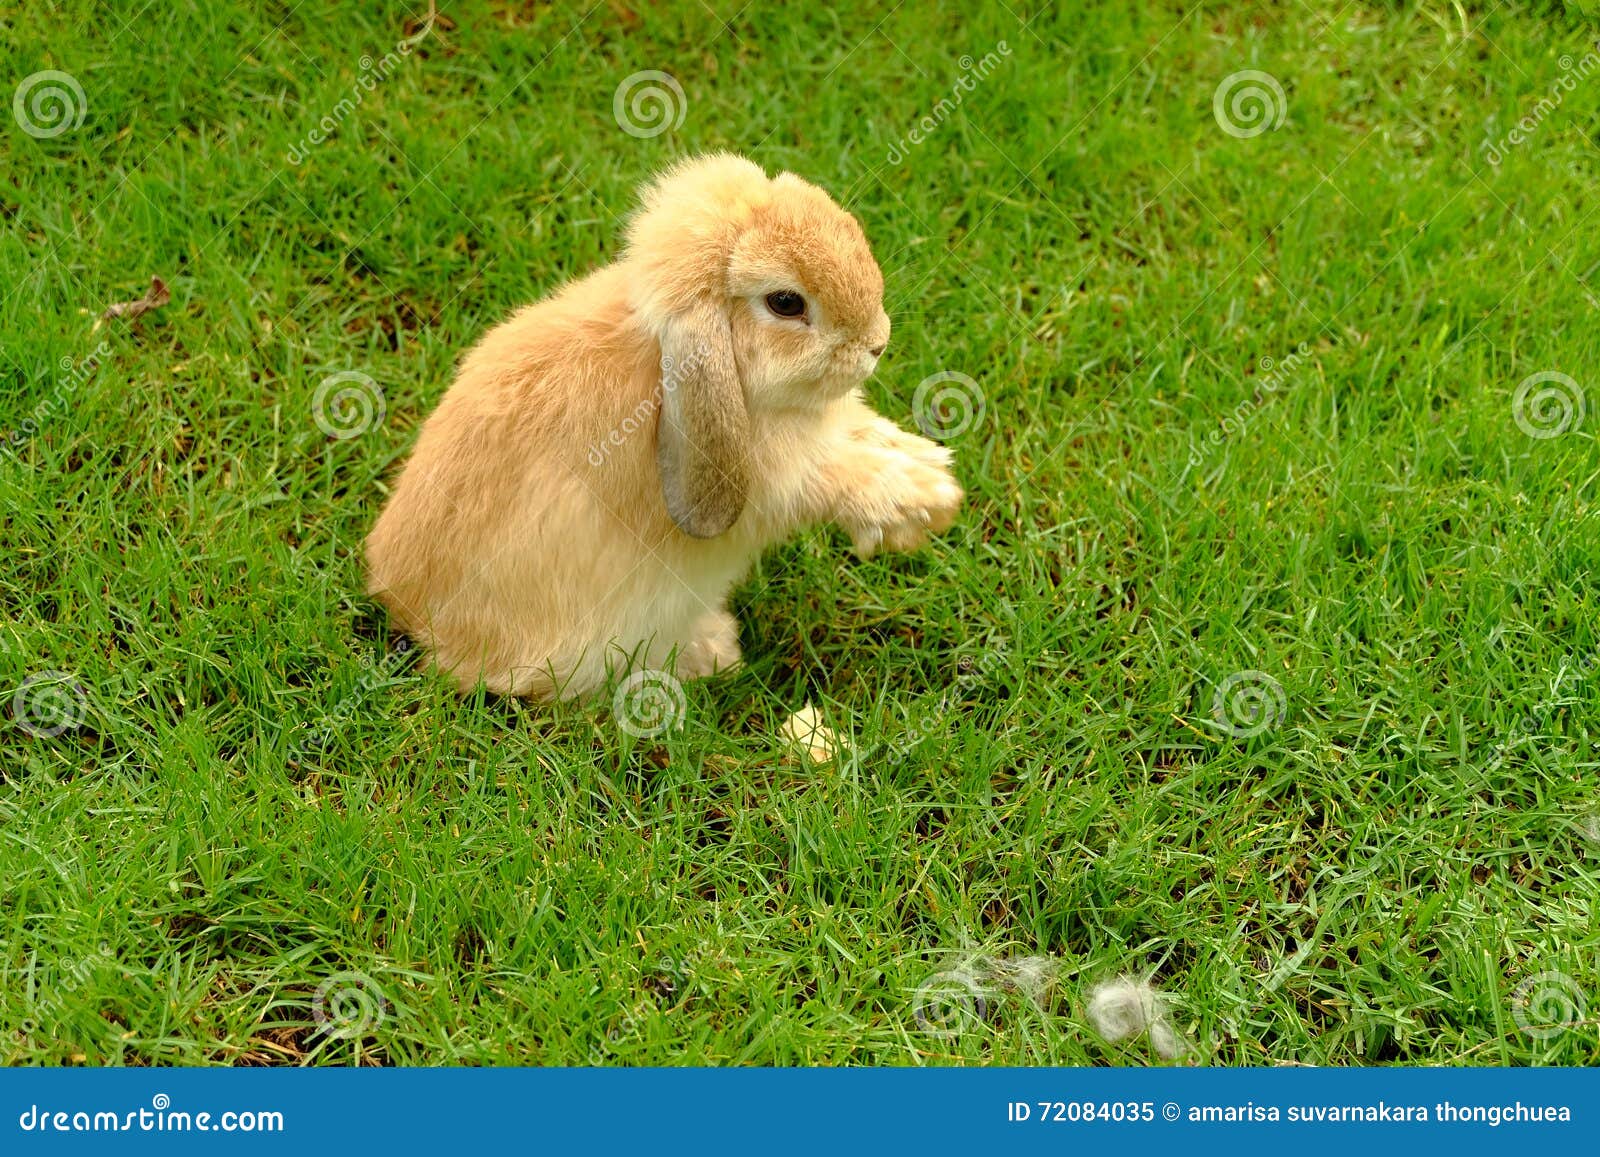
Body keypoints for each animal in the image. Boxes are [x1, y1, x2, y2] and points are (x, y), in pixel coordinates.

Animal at [365, 153, 963, 700]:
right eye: (786, 302)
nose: (877, 342)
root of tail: (407, 611)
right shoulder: (774, 486)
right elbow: (833, 481)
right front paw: (923, 499)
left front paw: (928, 463)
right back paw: (712, 653)